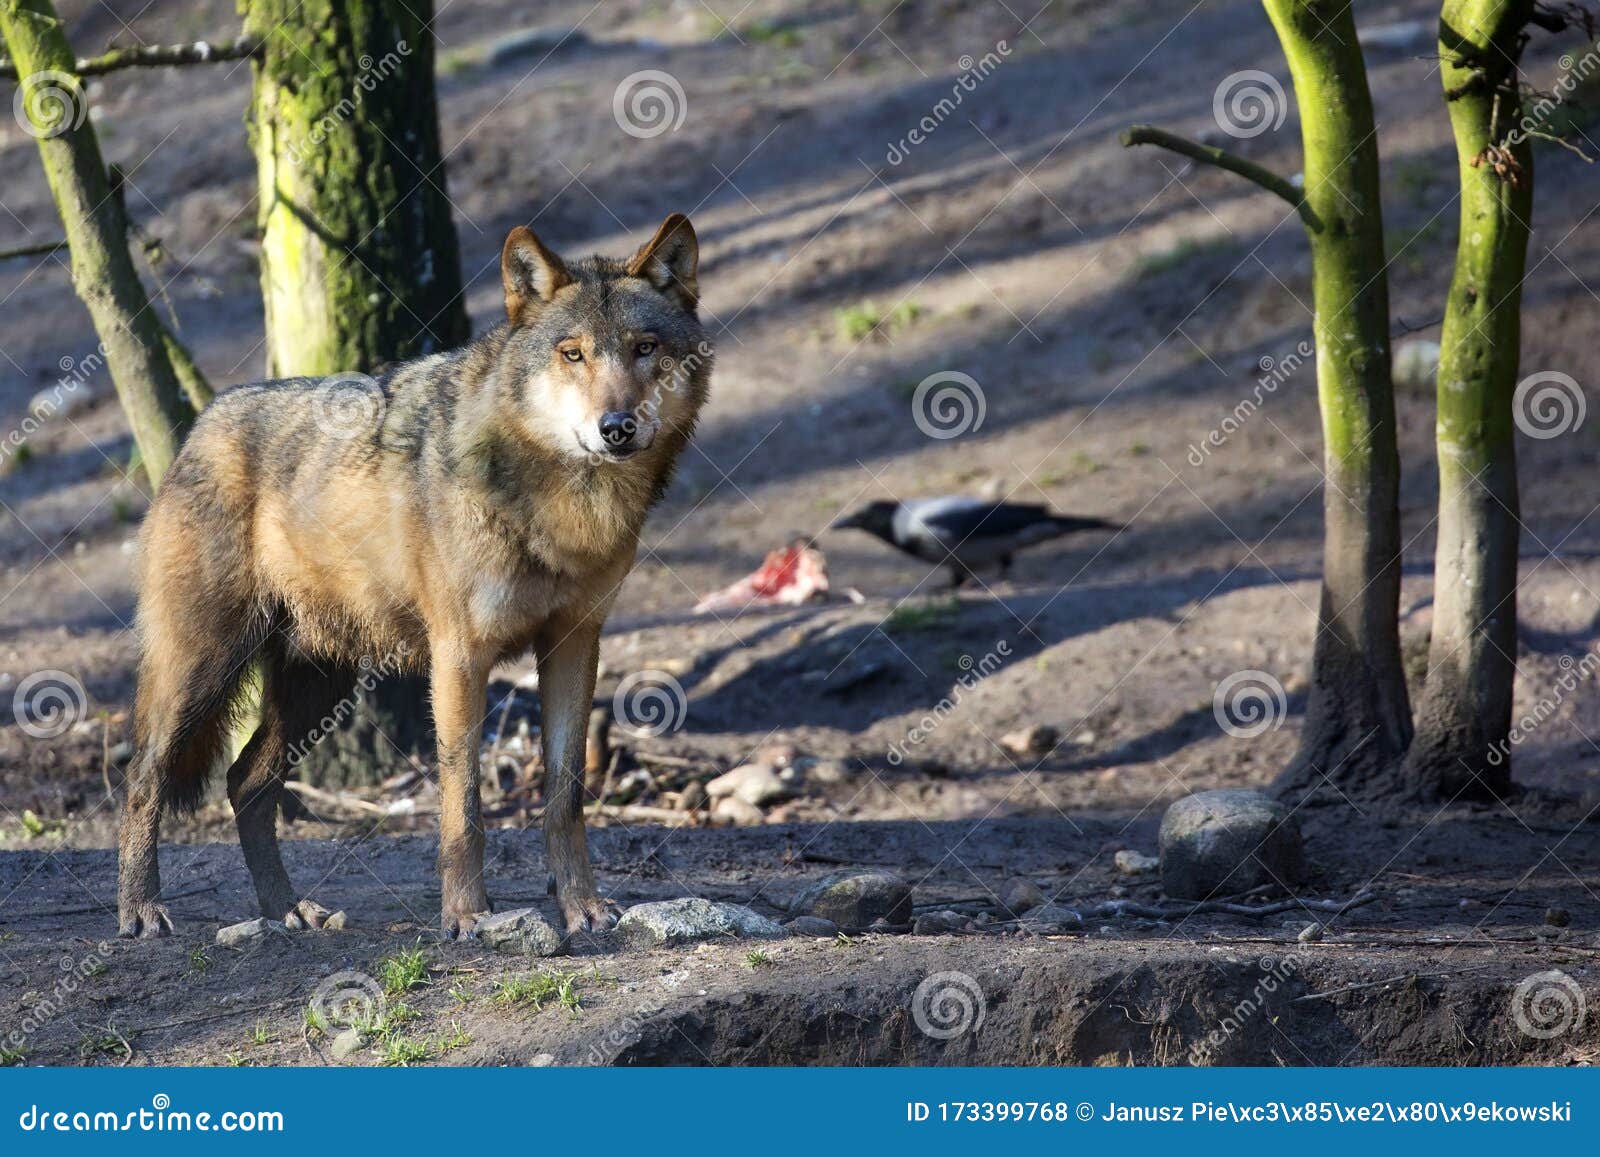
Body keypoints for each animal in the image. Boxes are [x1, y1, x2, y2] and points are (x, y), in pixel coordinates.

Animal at [116, 214, 711, 938]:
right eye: (573, 355)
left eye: (645, 348)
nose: (616, 426)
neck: (563, 509)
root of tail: (200, 424)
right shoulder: (458, 656)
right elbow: (464, 806)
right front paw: (466, 916)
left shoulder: (574, 646)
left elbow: (565, 799)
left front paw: (583, 908)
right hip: (203, 668)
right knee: (143, 778)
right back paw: (142, 910)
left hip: (317, 685)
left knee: (244, 782)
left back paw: (287, 911)